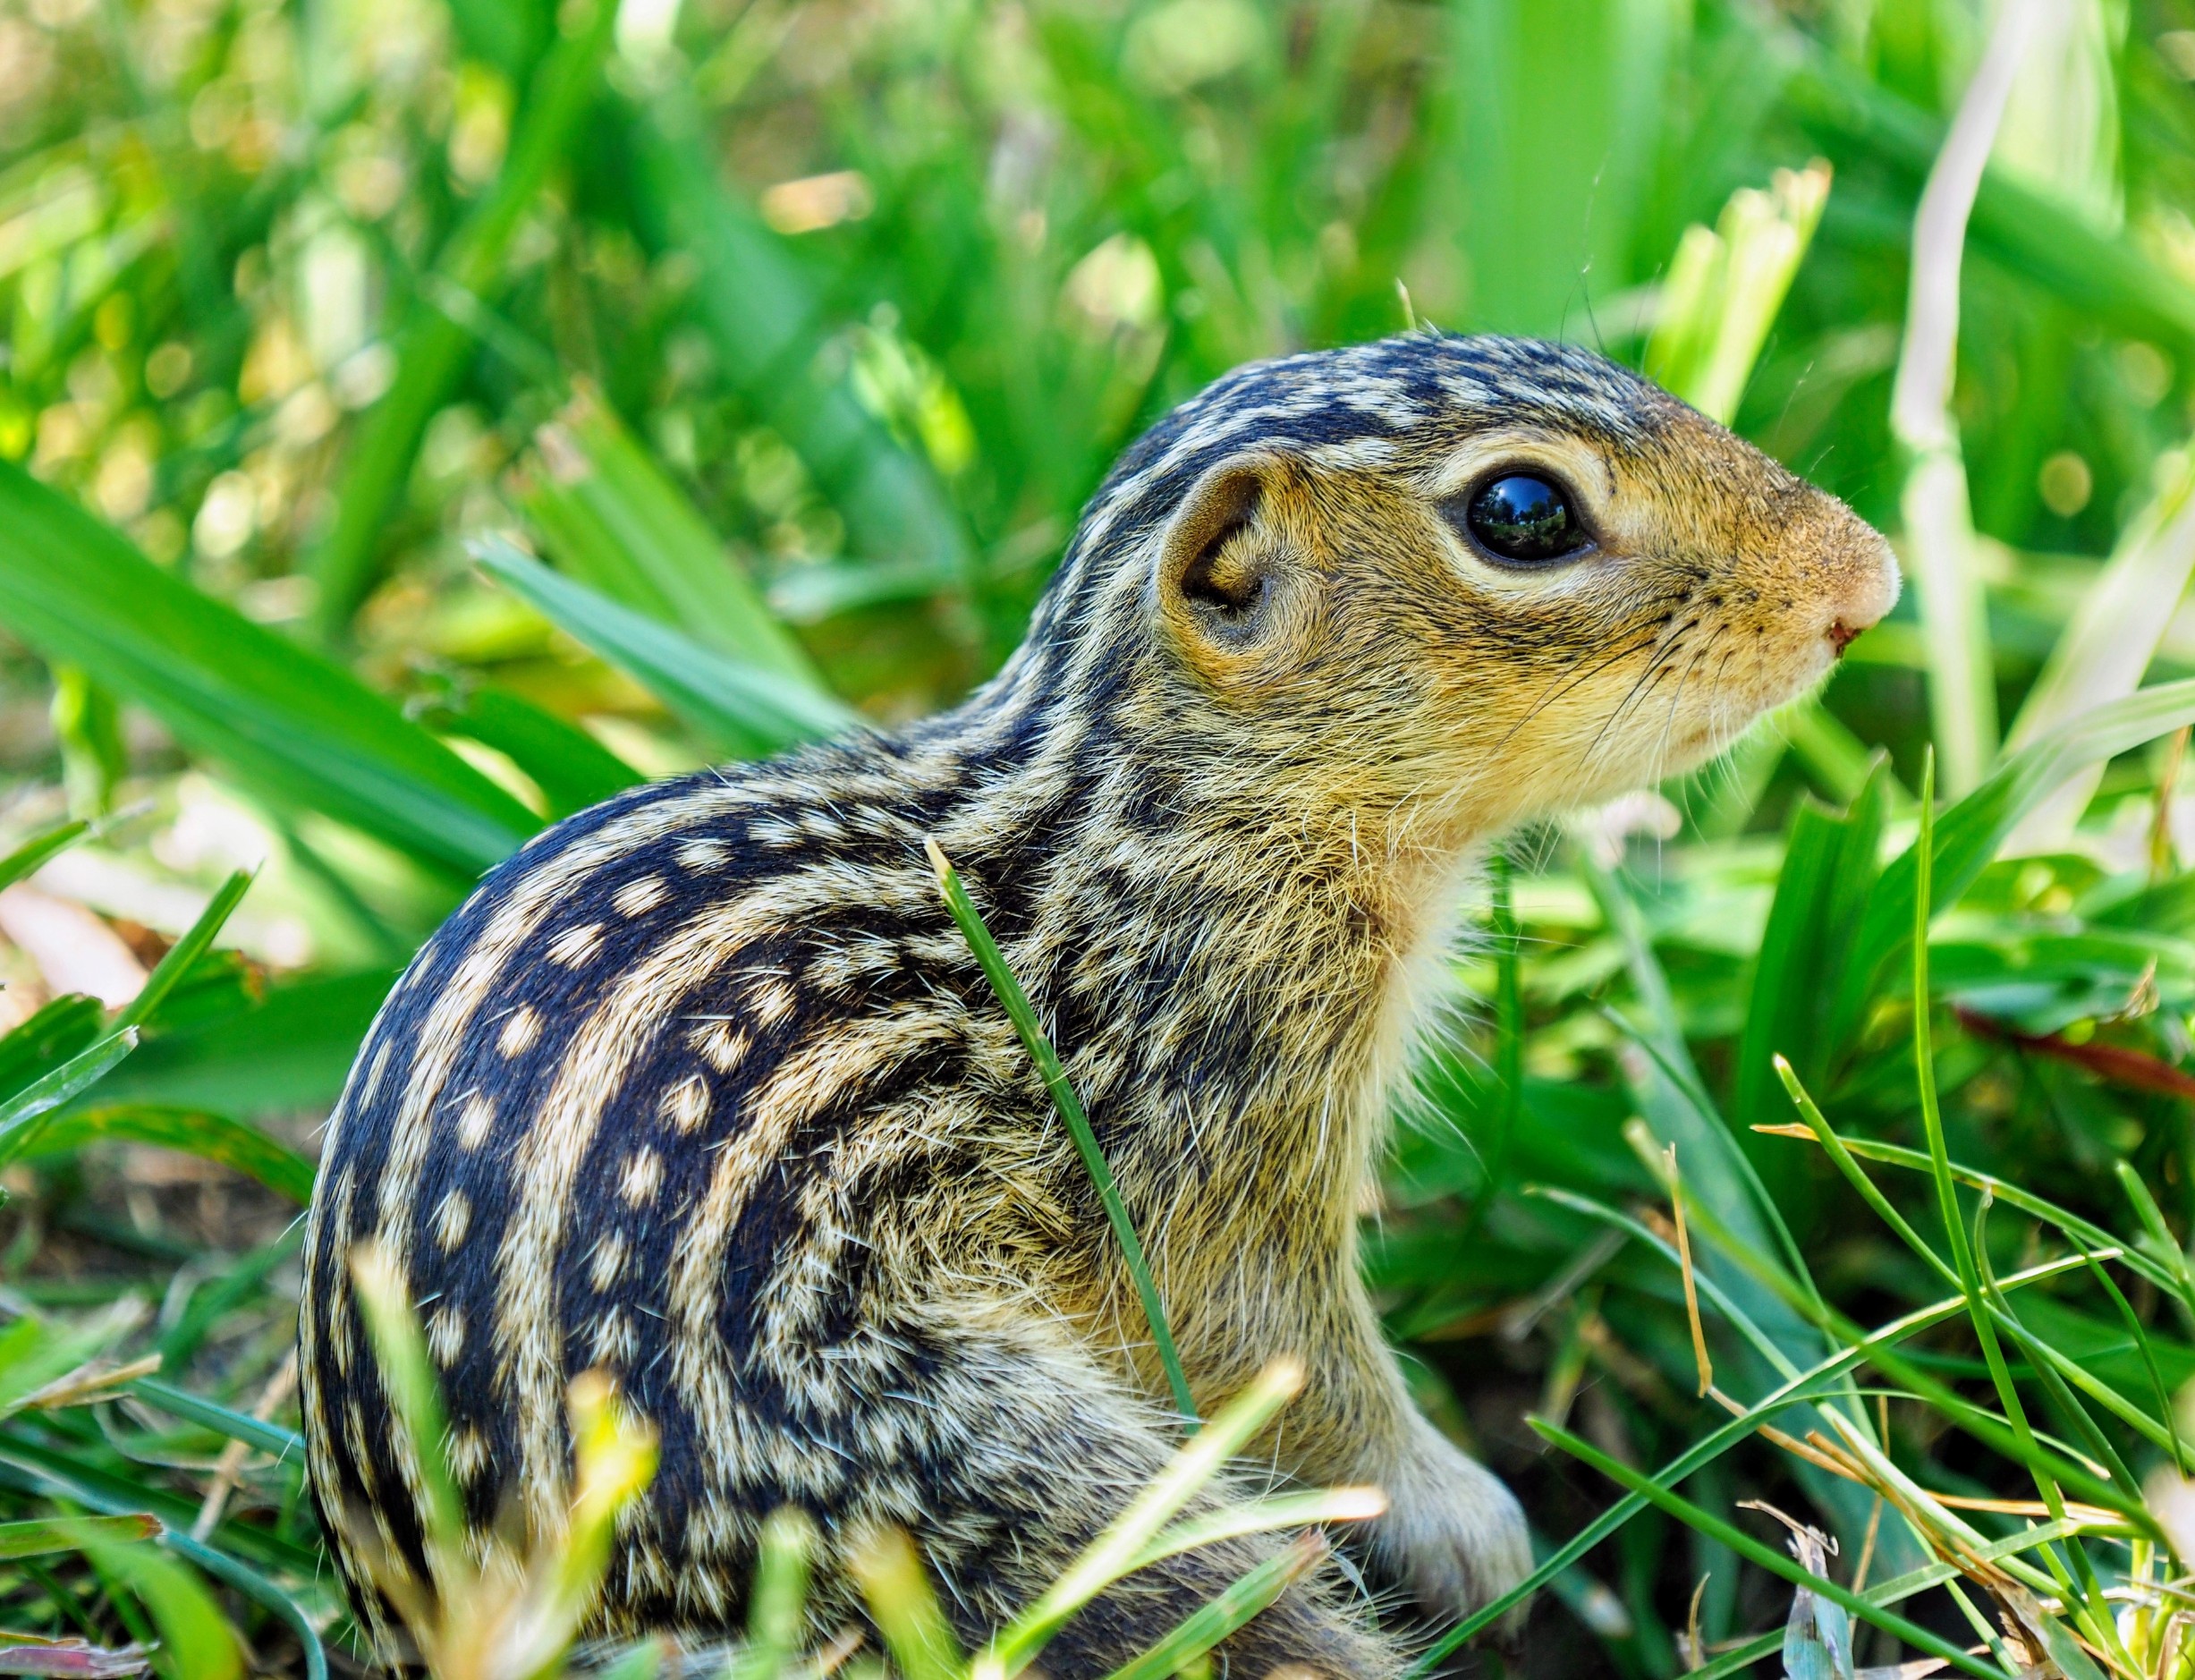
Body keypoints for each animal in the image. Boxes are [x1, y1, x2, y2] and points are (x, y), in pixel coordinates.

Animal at [298, 331, 1898, 1676]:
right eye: (1521, 511)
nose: (1868, 580)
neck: (1159, 806)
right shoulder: (1214, 1118)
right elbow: (1289, 1358)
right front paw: (1470, 1517)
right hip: (969, 1497)